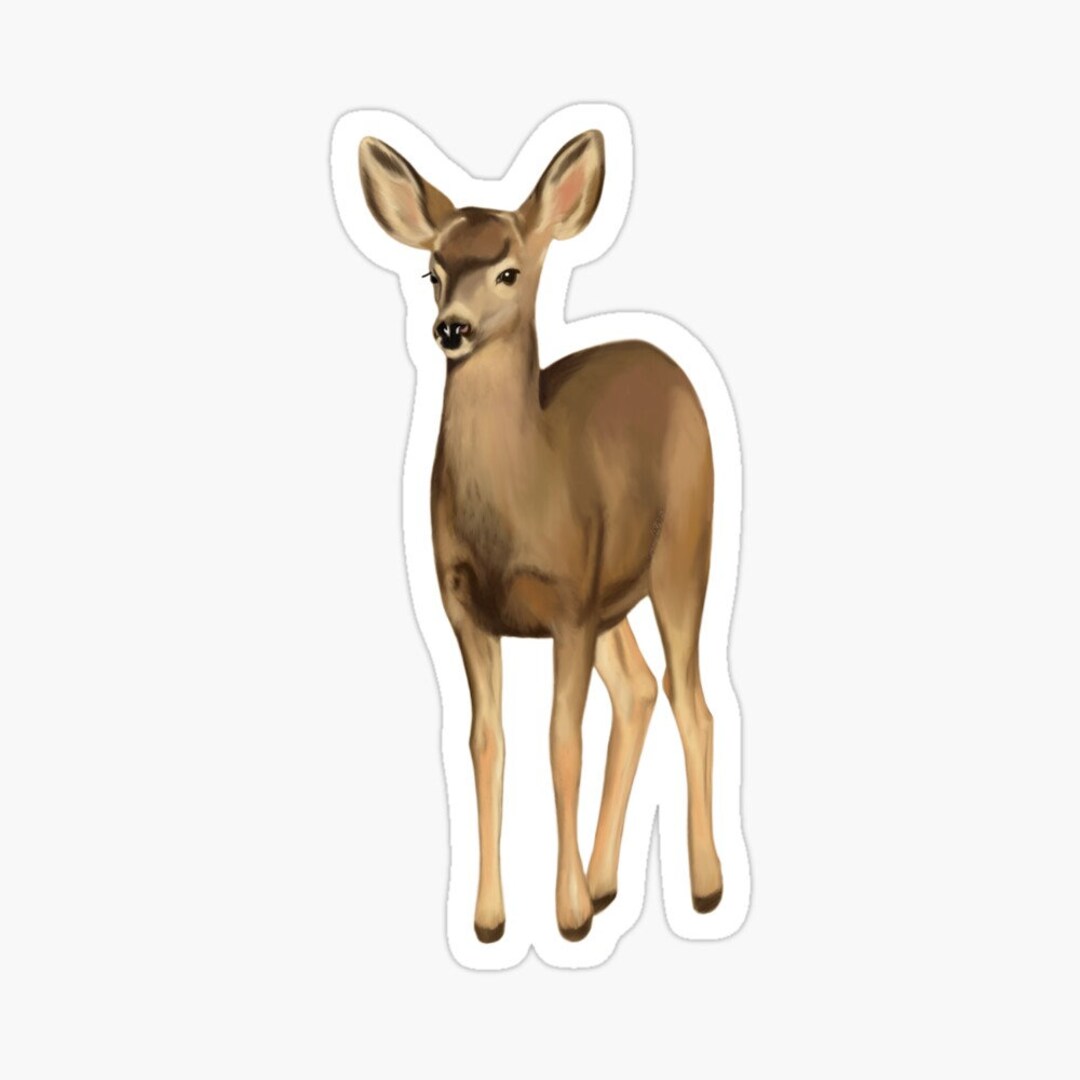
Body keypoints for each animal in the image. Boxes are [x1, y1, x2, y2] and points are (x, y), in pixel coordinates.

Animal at [357, 128, 723, 944]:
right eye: (432, 271)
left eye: (509, 270)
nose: (451, 328)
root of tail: (669, 362)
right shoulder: (465, 608)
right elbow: (485, 742)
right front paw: (490, 919)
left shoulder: (568, 603)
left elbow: (562, 744)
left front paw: (568, 915)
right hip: (612, 592)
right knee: (639, 690)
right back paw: (609, 881)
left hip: (684, 551)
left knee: (690, 698)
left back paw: (705, 886)